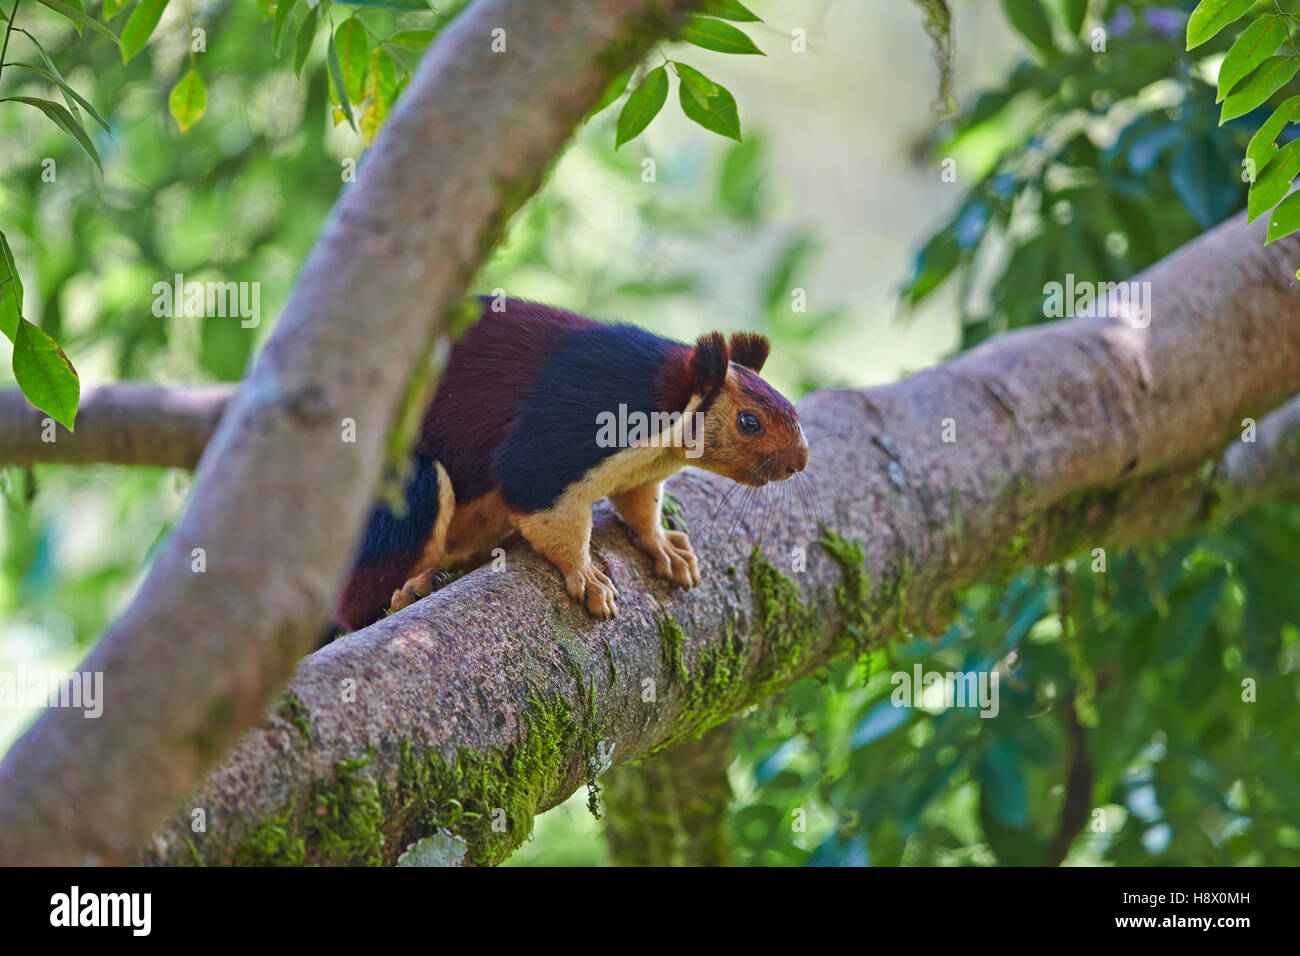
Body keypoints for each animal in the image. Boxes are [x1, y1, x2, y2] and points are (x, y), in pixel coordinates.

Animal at [334, 297, 809, 631]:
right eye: (749, 421)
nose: (800, 463)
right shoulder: (580, 423)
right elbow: (537, 492)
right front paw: (587, 576)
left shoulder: (641, 474)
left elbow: (641, 505)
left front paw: (663, 545)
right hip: (405, 488)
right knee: (355, 604)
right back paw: (405, 594)